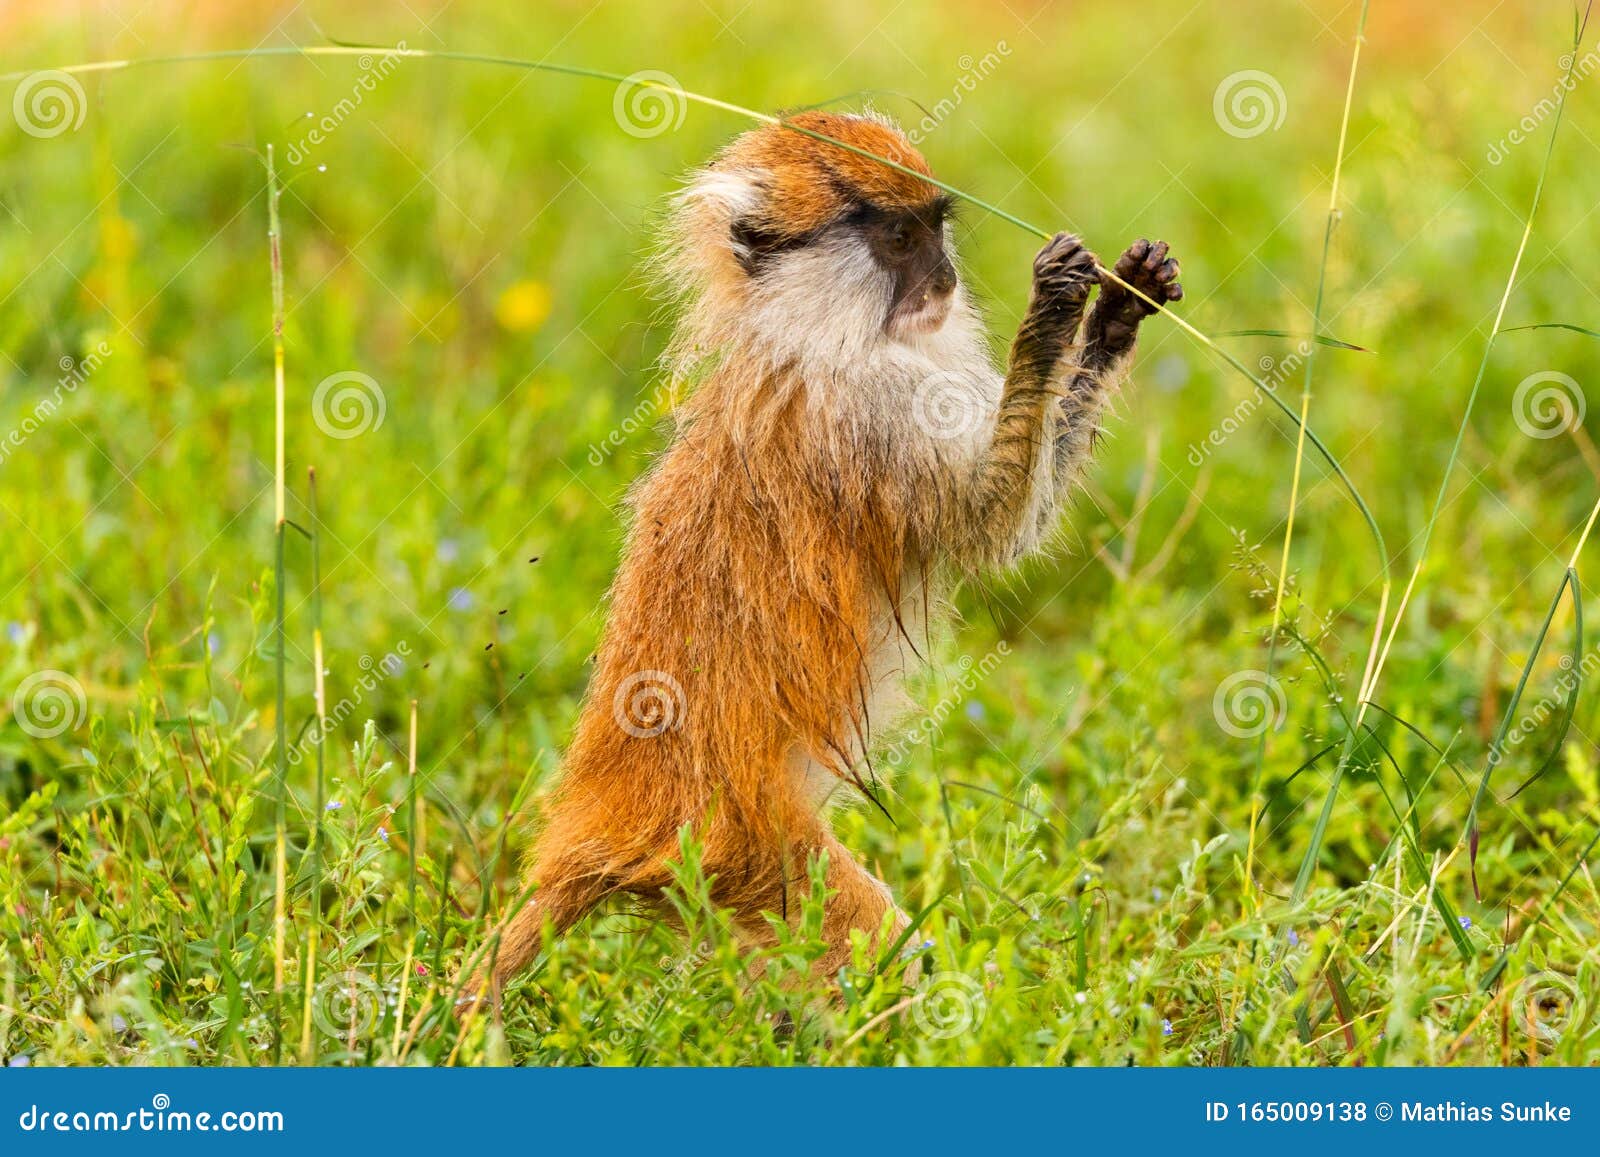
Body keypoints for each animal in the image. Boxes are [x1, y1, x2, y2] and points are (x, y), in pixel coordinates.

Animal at [463, 110, 1181, 1008]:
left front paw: (1121, 308)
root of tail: (607, 819)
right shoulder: (870, 416)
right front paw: (1052, 314)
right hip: (740, 844)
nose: (944, 279)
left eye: (936, 227)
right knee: (870, 937)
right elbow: (991, 524)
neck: (805, 334)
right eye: (900, 237)